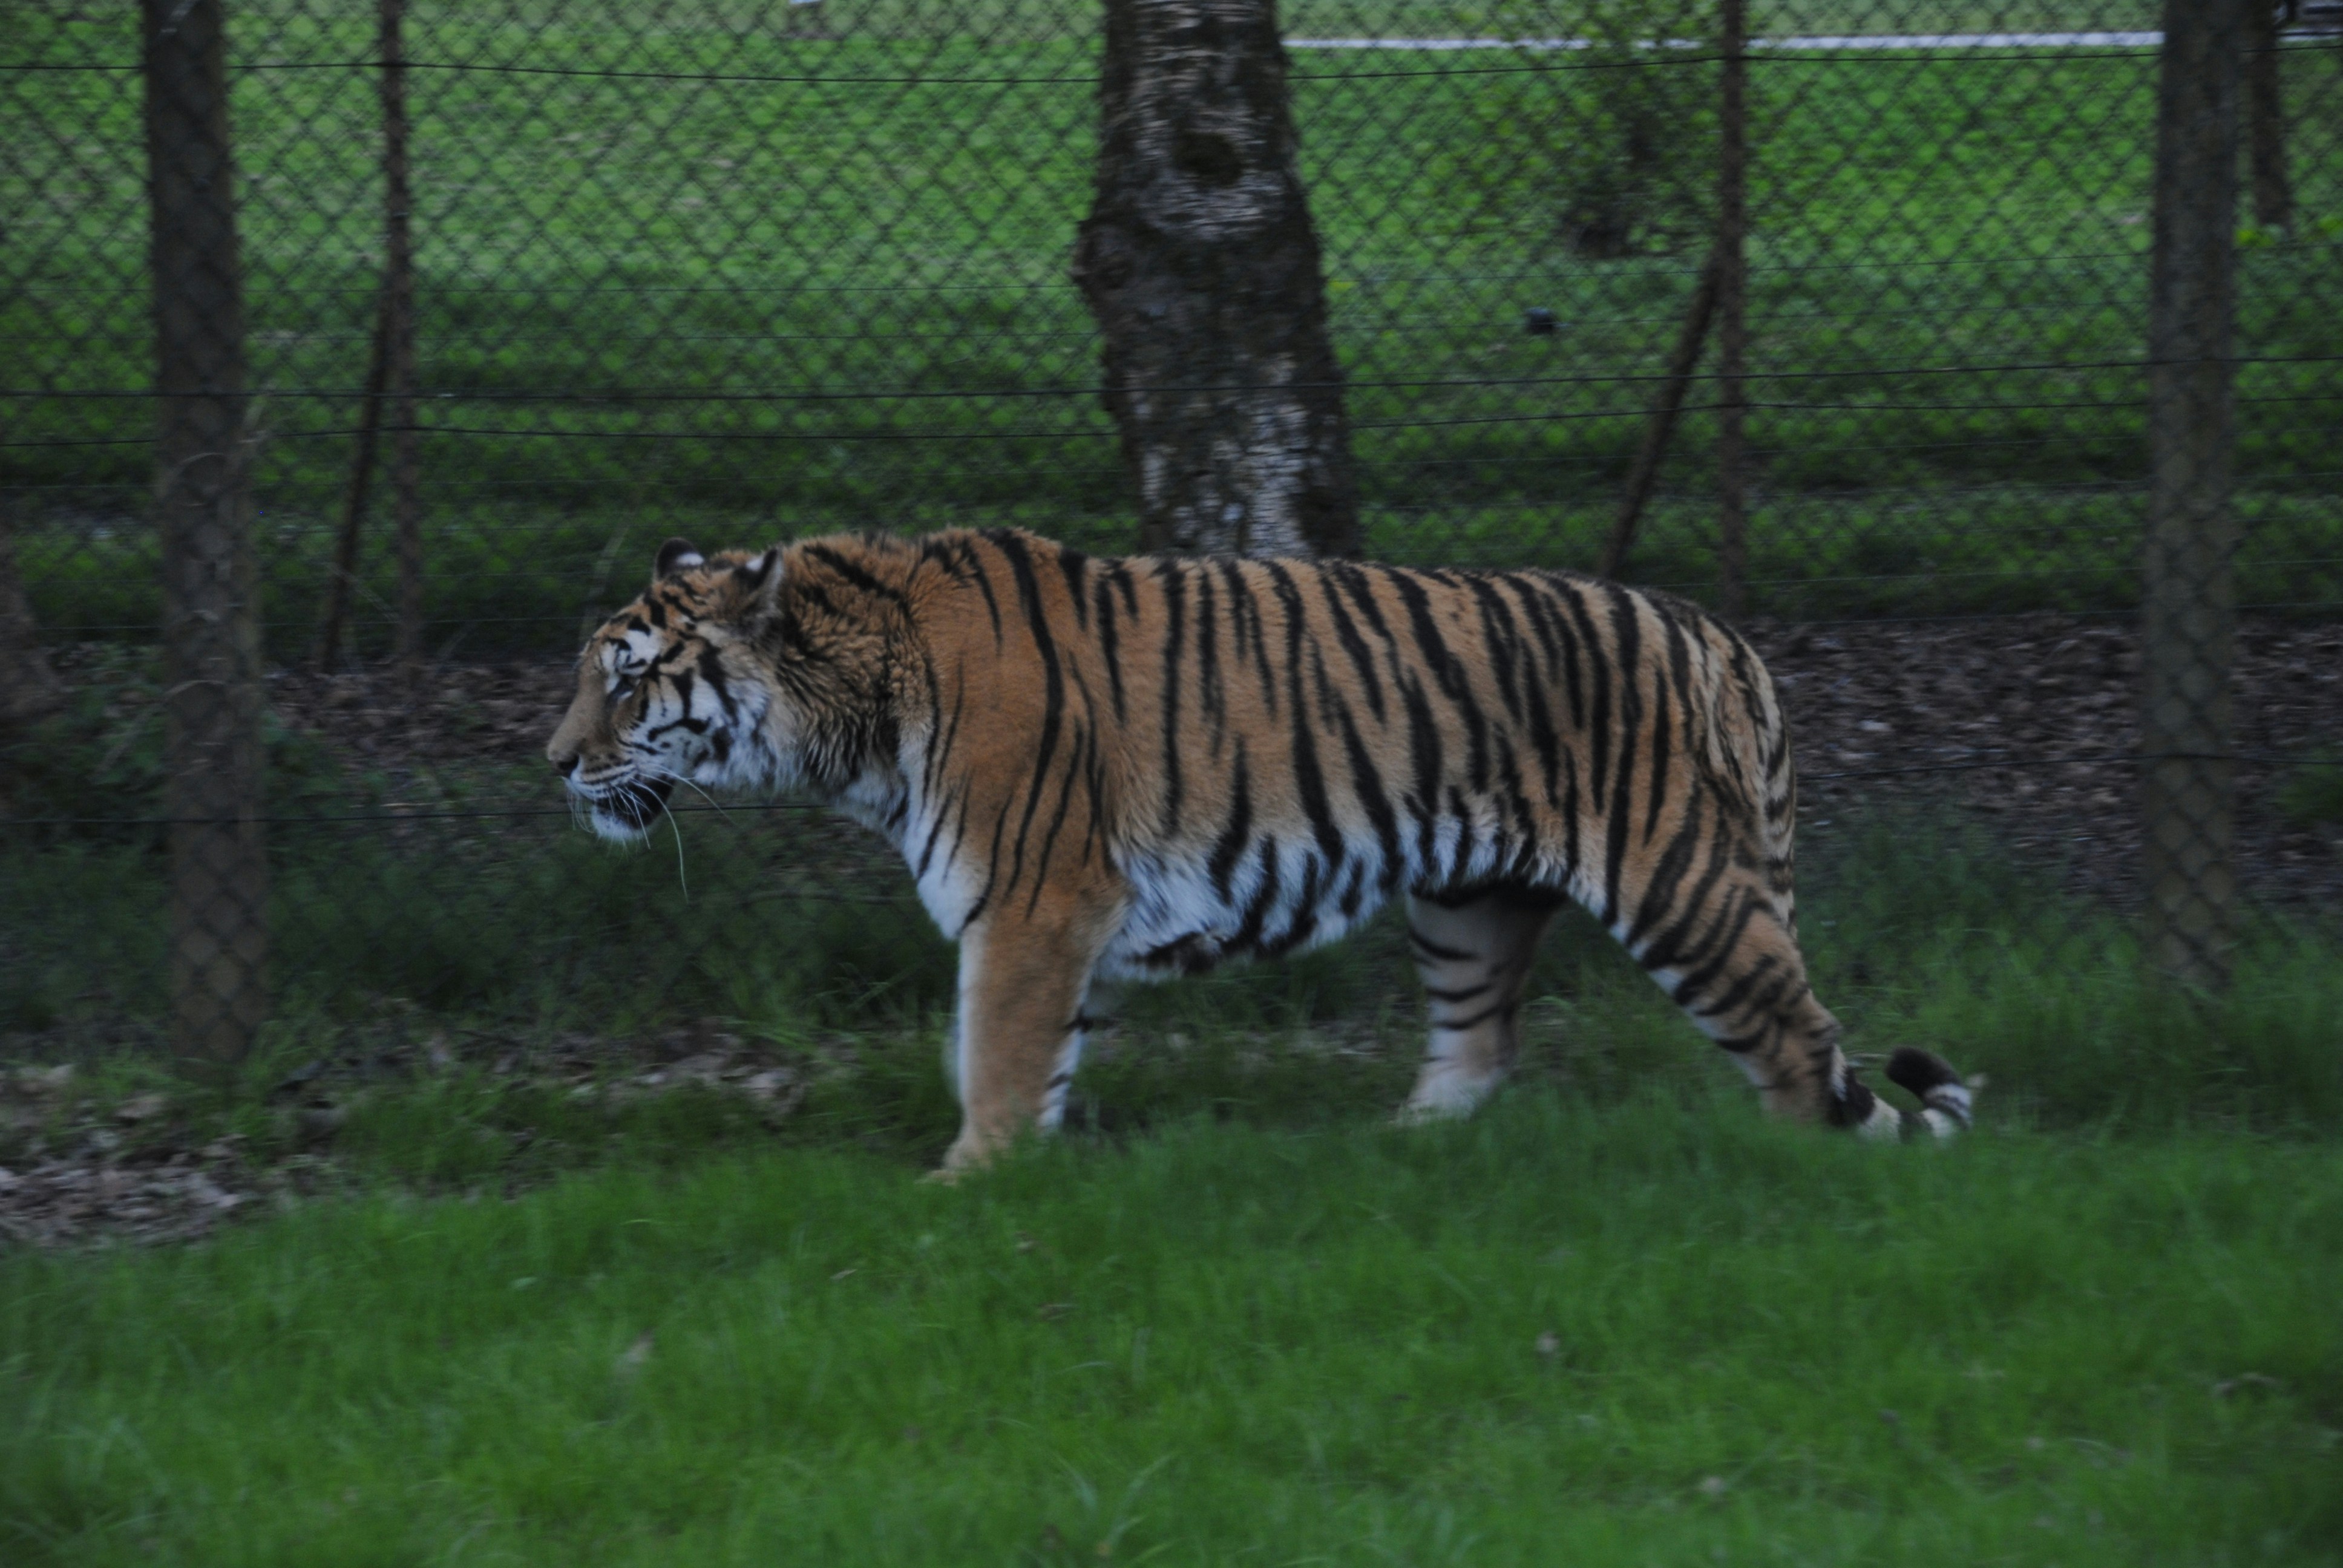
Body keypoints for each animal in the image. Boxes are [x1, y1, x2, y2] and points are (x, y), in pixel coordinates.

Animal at [547, 528, 1972, 1173]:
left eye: (627, 680)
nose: (554, 763)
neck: (851, 721)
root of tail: (1719, 635)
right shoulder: (1060, 922)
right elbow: (1033, 1057)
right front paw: (1031, 1173)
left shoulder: (1030, 902)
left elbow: (995, 1055)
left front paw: (963, 1186)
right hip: (1467, 903)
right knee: (1481, 1046)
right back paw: (1395, 1149)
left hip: (1681, 886)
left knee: (1794, 1038)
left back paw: (1787, 1171)